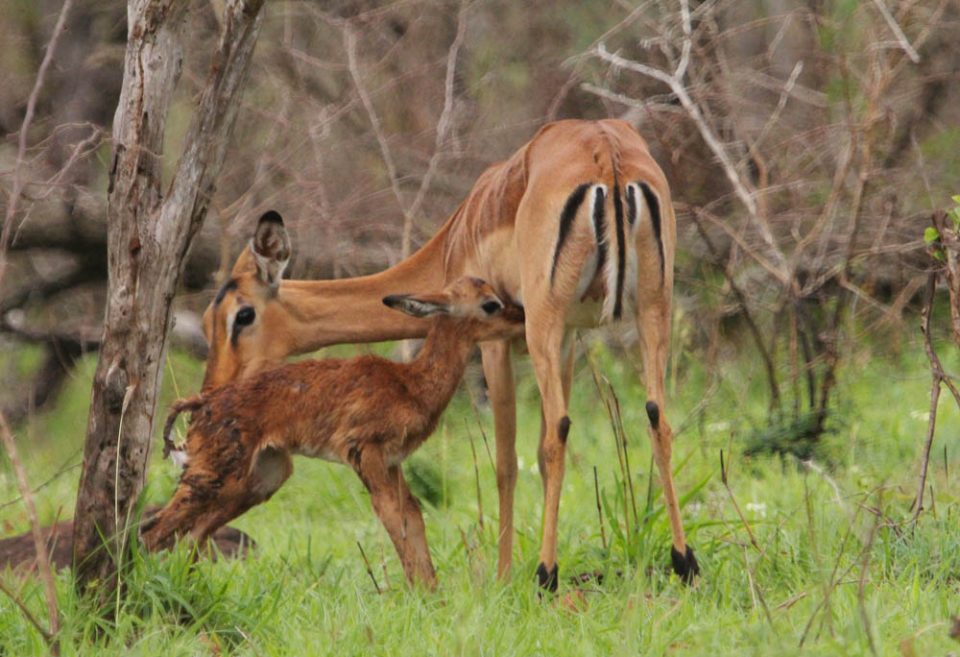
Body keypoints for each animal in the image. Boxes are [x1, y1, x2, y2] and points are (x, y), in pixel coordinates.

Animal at [143, 277, 525, 587]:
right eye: (490, 303)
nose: (521, 317)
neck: (410, 385)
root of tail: (200, 403)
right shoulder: (363, 451)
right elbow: (391, 515)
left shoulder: (392, 462)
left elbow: (412, 515)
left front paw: (433, 594)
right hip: (212, 476)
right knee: (155, 528)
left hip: (260, 478)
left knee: (189, 534)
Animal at [199, 119, 699, 590]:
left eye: (242, 316)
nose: (213, 392)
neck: (457, 238)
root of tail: (606, 156)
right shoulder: (570, 339)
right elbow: (534, 457)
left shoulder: (497, 342)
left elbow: (506, 461)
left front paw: (503, 577)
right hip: (652, 308)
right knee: (657, 417)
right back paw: (684, 563)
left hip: (546, 320)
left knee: (560, 429)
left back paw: (546, 575)